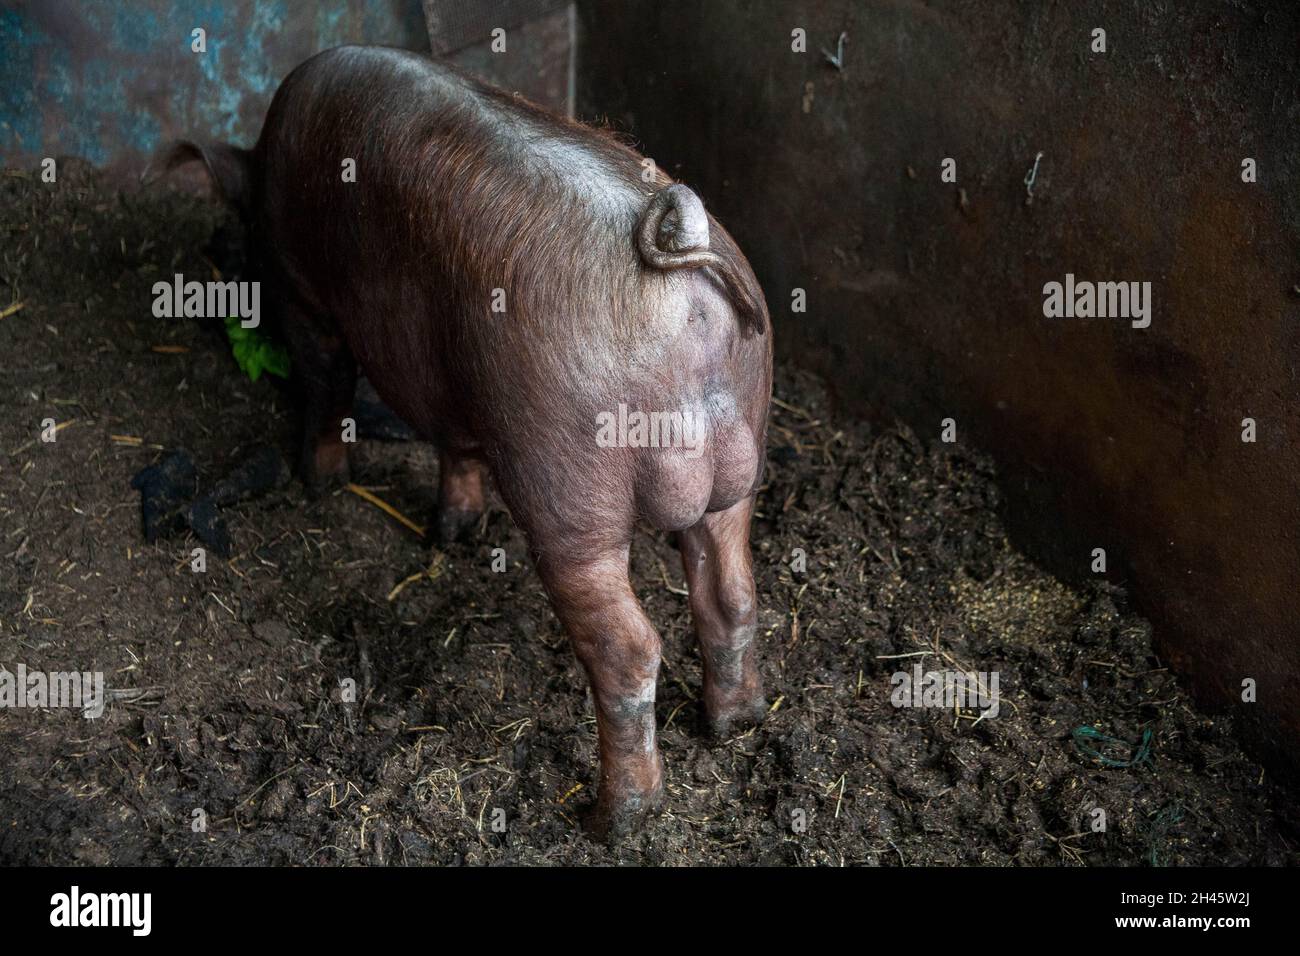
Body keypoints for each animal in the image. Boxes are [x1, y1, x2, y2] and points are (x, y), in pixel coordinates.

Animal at [165, 45, 772, 838]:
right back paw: (735, 723)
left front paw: (319, 481)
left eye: (236, 232)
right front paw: (454, 531)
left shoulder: (306, 298)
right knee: (732, 593)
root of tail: (680, 265)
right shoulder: (449, 382)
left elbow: (327, 387)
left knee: (629, 649)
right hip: (741, 458)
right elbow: (455, 443)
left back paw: (614, 817)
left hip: (569, 491)